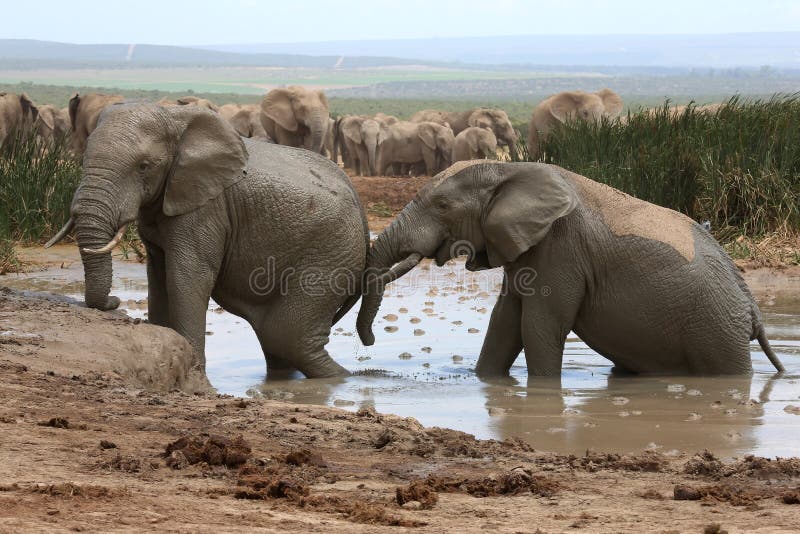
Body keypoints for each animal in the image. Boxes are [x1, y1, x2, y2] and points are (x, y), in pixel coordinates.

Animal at [45, 103, 370, 379]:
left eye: (144, 166)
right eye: (83, 159)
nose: (113, 302)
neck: (173, 118)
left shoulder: (206, 208)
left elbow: (186, 276)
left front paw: (196, 373)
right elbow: (158, 276)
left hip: (332, 252)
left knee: (287, 336)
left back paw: (343, 379)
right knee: (277, 341)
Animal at [355, 160, 784, 377]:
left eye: (443, 206)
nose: (370, 343)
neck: (509, 170)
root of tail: (753, 311)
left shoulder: (561, 248)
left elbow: (538, 326)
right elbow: (504, 323)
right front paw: (485, 382)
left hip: (716, 330)